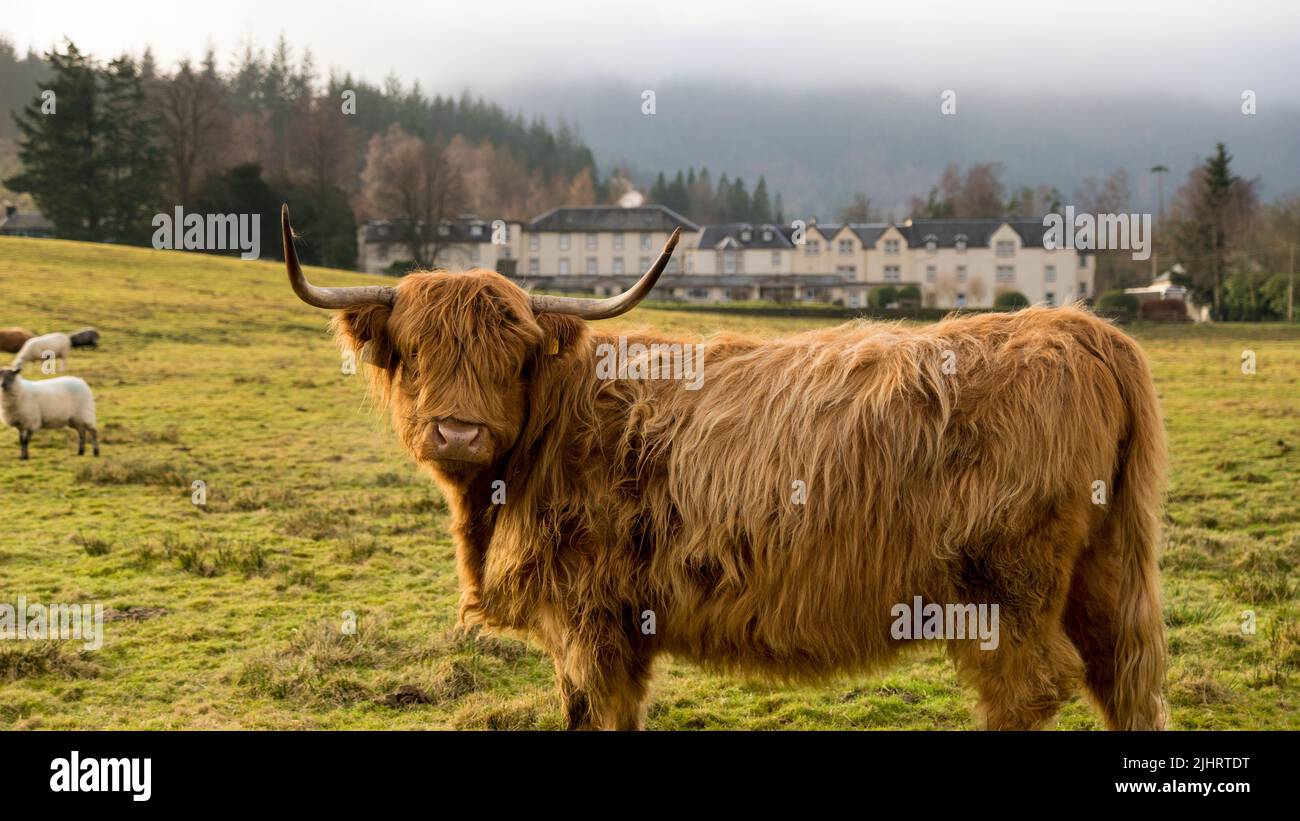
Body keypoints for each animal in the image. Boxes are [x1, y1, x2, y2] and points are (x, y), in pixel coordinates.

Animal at [281, 205, 1167, 731]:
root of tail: (1080, 328)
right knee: (1123, 675)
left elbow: (597, 711)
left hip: (1005, 583)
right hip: (1105, 565)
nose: (458, 430)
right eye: (417, 348)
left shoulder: (591, 616)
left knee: (1030, 685)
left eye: (514, 355)